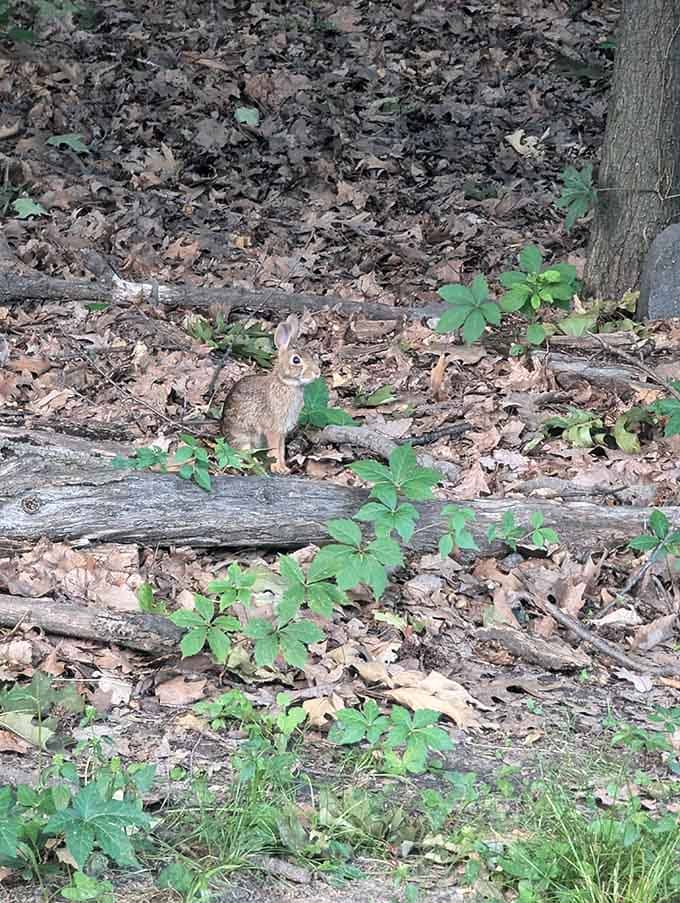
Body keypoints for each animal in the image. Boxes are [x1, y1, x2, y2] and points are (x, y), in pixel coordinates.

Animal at [220, 314, 320, 474]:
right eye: (296, 360)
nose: (317, 372)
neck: (285, 383)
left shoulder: (282, 431)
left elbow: (281, 449)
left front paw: (284, 467)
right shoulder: (272, 429)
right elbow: (274, 449)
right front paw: (277, 468)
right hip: (243, 436)